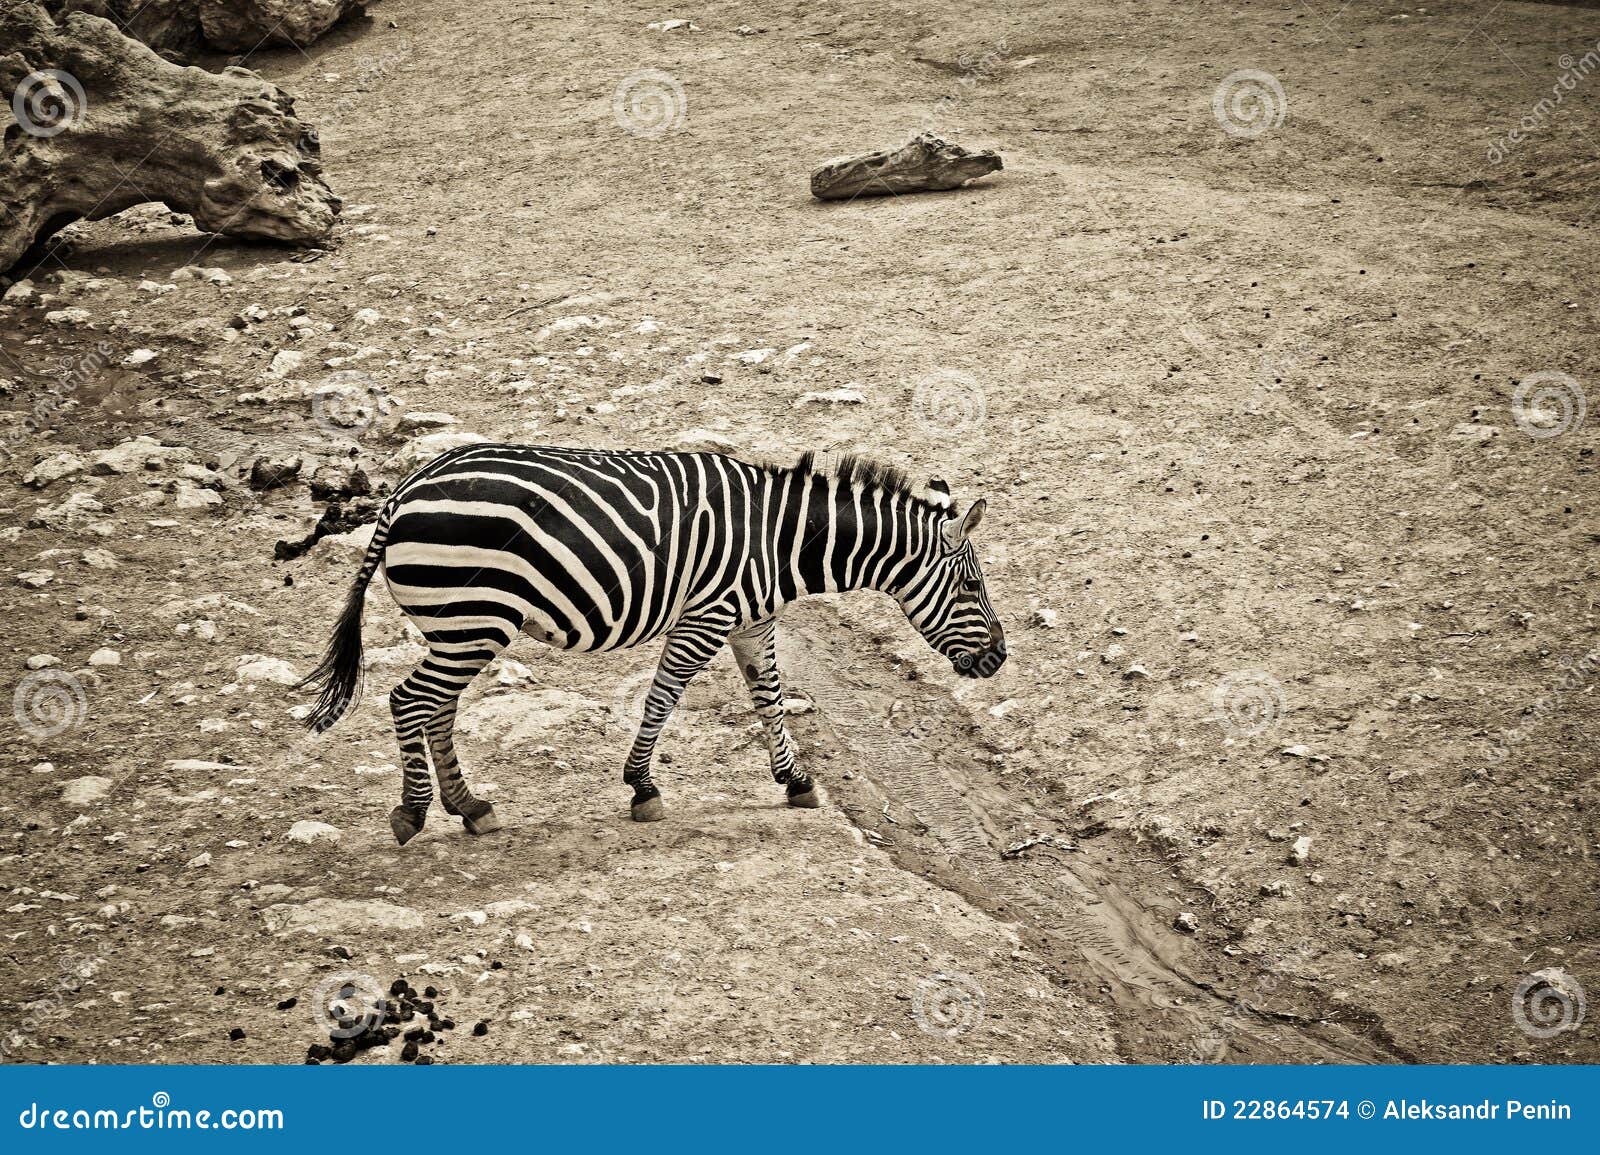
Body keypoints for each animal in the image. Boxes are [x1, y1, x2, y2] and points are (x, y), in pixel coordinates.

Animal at [297, 444, 1006, 845]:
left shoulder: (751, 620)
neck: (780, 540)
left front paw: (796, 780)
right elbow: (664, 698)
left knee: (436, 706)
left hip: (459, 624)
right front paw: (642, 787)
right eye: (972, 585)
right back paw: (414, 813)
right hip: (477, 617)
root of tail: (403, 489)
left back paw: (469, 807)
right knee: (408, 700)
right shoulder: (709, 615)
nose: (999, 659)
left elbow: (770, 697)